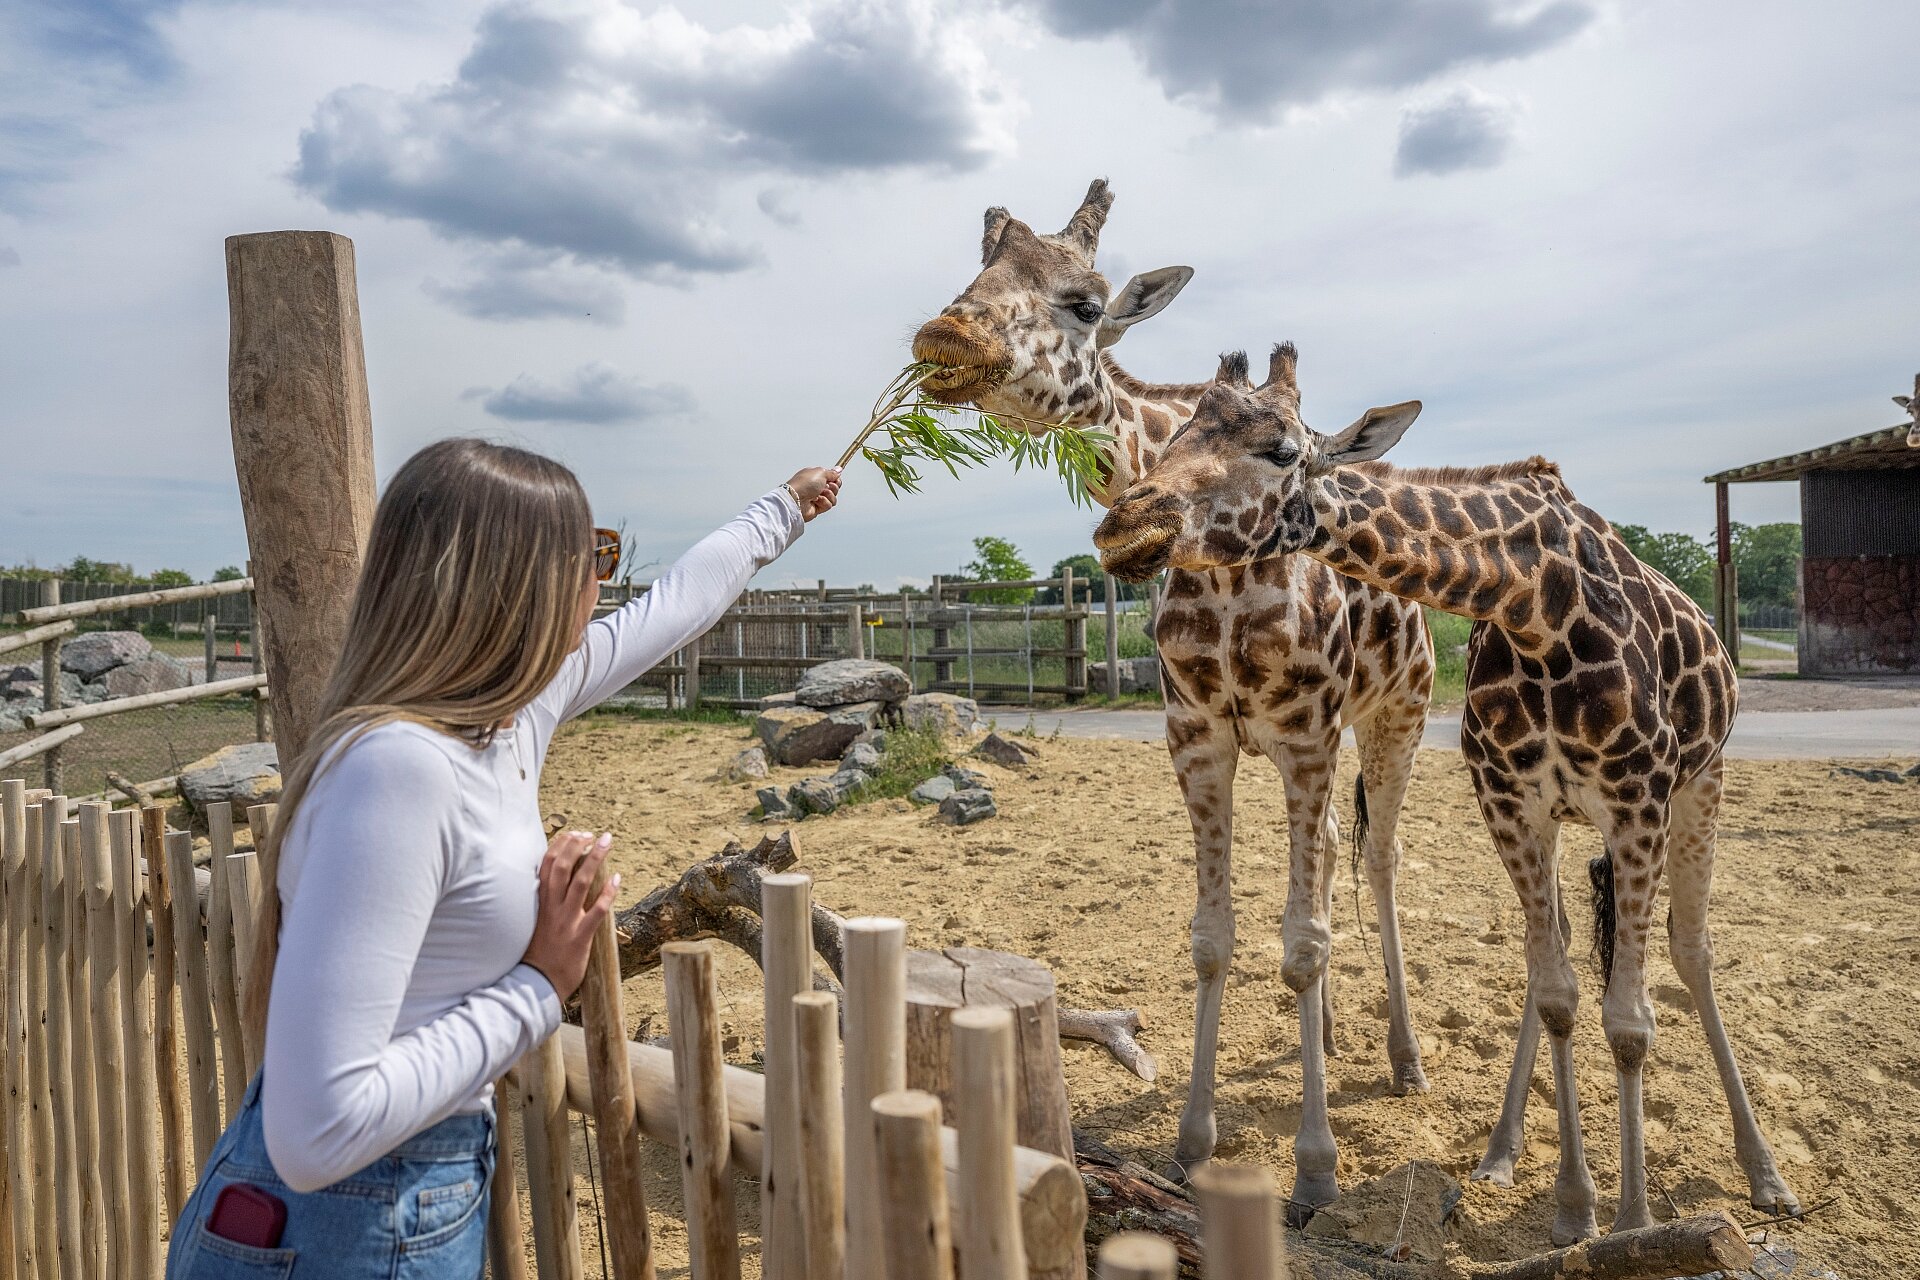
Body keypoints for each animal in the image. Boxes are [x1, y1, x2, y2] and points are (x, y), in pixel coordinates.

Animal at [912, 182, 1439, 1215]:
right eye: (975, 273)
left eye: (1084, 301)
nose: (942, 337)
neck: (1231, 584)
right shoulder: (1200, 738)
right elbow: (1213, 938)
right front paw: (1195, 1141)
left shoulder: (1306, 741)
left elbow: (1303, 942)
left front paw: (1316, 1164)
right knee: (1334, 857)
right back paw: (1332, 1039)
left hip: (1396, 715)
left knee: (1382, 859)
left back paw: (1403, 1059)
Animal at [1093, 343, 1803, 1243]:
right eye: (1180, 431)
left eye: (1282, 451)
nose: (1124, 527)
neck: (1536, 604)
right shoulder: (1502, 796)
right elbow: (1562, 993)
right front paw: (1576, 1207)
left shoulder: (1635, 798)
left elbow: (1630, 1021)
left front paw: (1637, 1223)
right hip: (1549, 810)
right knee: (1547, 953)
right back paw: (1499, 1154)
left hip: (1694, 783)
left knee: (1690, 950)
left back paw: (1765, 1174)